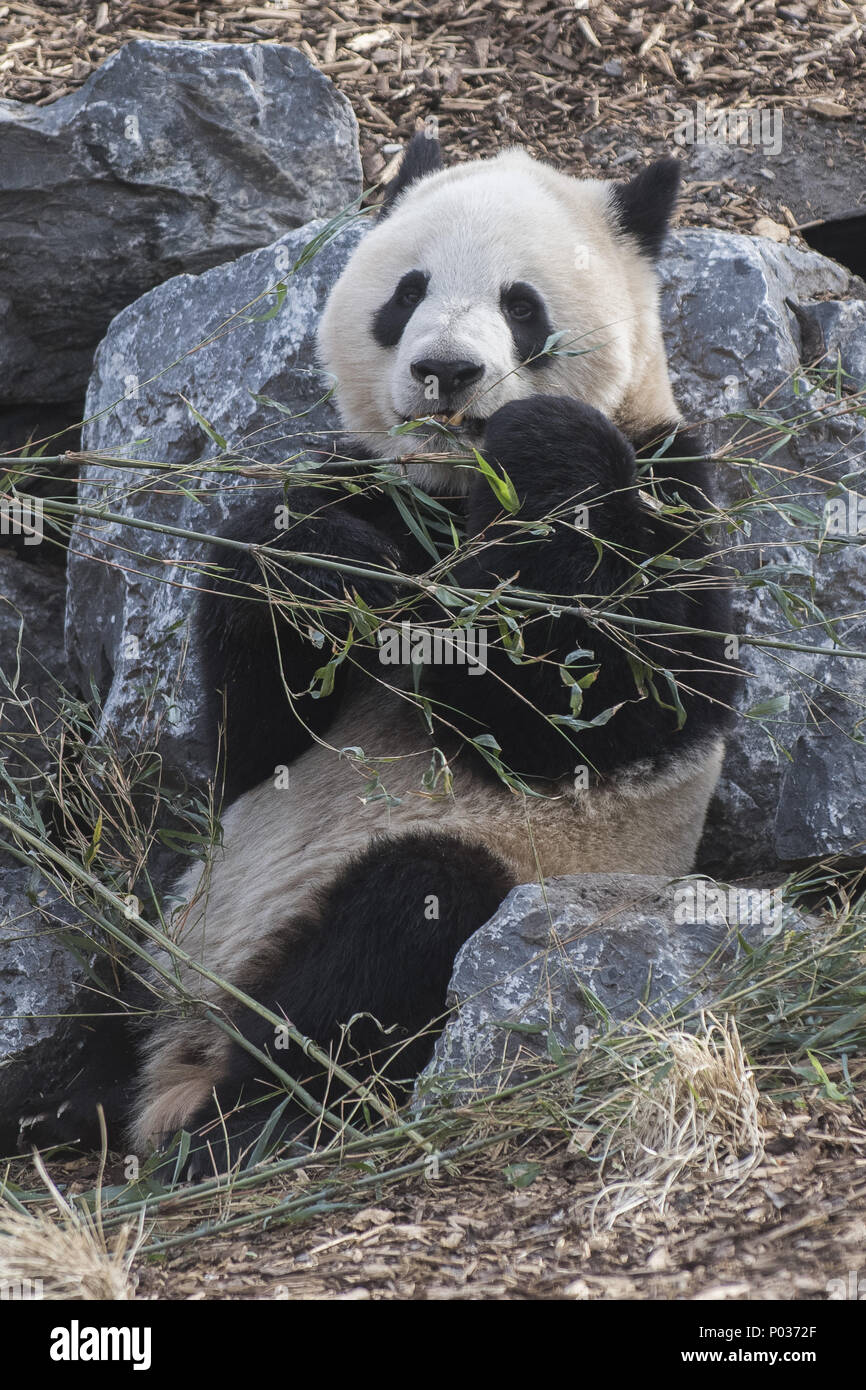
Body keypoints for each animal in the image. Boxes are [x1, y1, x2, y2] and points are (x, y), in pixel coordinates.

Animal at [15, 133, 739, 1177]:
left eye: (522, 306)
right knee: (98, 1004)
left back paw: (239, 1124)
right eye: (408, 290)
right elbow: (256, 730)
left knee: (397, 930)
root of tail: (175, 1058)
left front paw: (542, 456)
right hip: (169, 920)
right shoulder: (360, 481)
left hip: (497, 883)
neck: (449, 494)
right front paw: (322, 564)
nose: (446, 371)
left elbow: (617, 698)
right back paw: (58, 1102)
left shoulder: (668, 488)